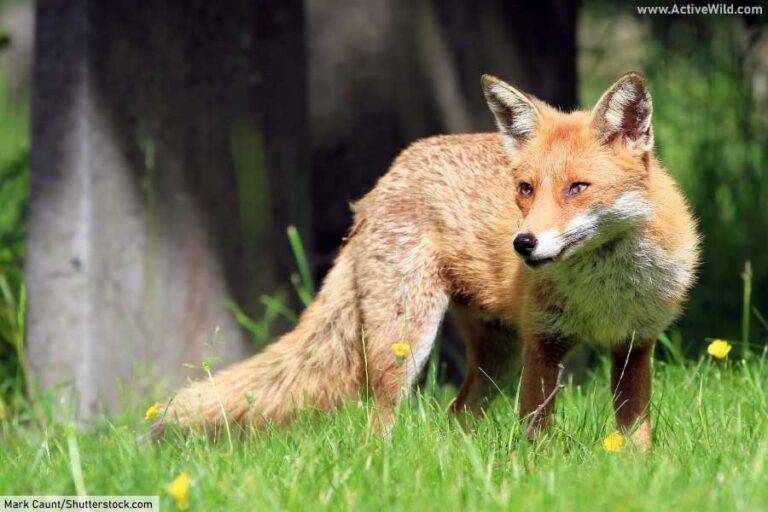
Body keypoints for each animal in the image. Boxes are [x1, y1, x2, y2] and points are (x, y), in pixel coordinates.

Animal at [157, 72, 699, 450]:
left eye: (577, 188)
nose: (523, 244)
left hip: (498, 360)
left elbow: (636, 434)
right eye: (526, 188)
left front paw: (637, 475)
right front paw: (539, 475)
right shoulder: (546, 343)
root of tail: (390, 174)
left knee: (455, 416)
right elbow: (536, 435)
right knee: (380, 423)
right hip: (407, 342)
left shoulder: (634, 345)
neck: (603, 293)